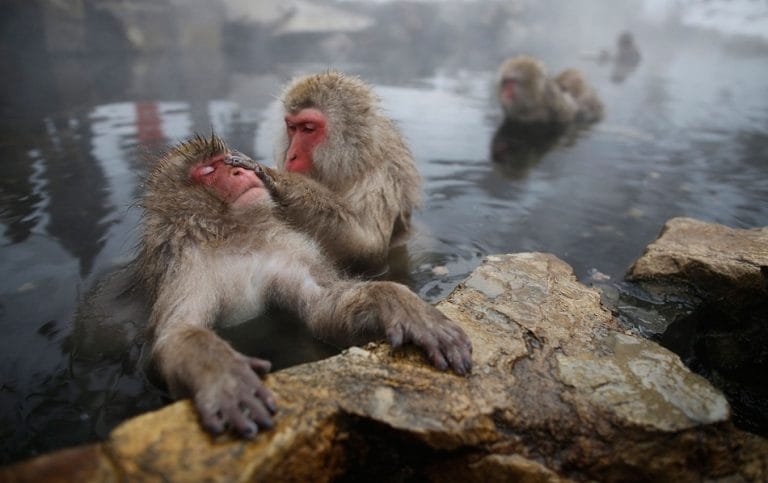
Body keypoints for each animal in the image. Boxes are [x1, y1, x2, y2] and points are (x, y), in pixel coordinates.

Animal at [128, 134, 472, 438]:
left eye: (228, 161)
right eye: (209, 171)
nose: (240, 172)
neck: (234, 237)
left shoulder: (284, 253)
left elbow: (322, 306)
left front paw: (398, 304)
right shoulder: (185, 270)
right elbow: (175, 332)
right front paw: (220, 373)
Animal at [266, 71, 422, 274]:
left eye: (308, 128)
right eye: (292, 127)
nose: (291, 156)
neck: (353, 163)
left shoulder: (380, 181)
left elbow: (369, 249)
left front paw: (277, 180)